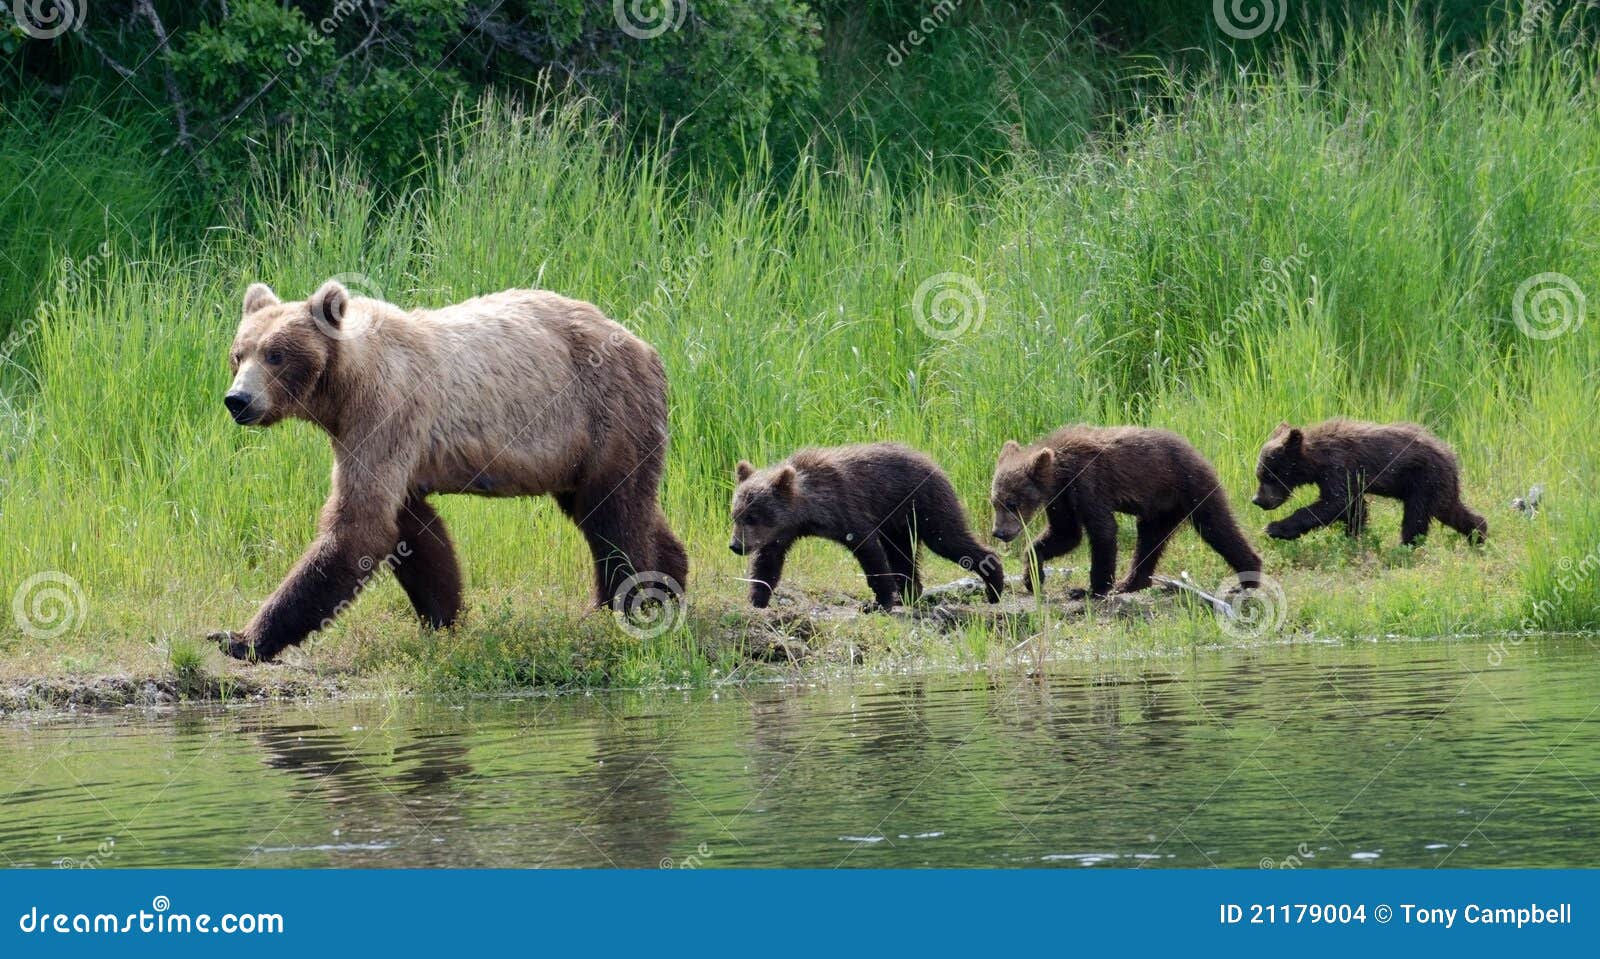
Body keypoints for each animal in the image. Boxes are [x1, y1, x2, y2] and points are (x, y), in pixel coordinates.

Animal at [211, 279, 687, 661]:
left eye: (275, 354)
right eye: (238, 354)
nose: (238, 400)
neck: (343, 385)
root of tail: (645, 346)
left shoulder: (386, 411)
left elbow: (358, 527)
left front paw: (239, 637)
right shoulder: (377, 440)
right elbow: (413, 532)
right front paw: (441, 616)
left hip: (603, 411)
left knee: (613, 511)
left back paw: (618, 604)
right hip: (580, 446)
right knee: (619, 507)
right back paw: (670, 581)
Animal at [729, 443, 1004, 610]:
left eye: (752, 516)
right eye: (736, 515)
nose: (735, 545)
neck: (807, 511)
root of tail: (931, 461)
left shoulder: (845, 509)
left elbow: (869, 551)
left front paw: (878, 602)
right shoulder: (780, 534)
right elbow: (767, 563)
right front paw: (756, 599)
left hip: (925, 503)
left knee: (947, 538)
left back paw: (994, 586)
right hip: (899, 522)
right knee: (902, 555)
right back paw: (909, 594)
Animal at [989, 426, 1262, 598]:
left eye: (1012, 503)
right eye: (994, 501)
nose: (999, 532)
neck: (1061, 473)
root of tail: (1196, 451)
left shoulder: (1088, 483)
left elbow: (1103, 530)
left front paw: (1092, 589)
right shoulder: (1060, 499)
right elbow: (1065, 534)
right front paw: (1033, 577)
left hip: (1191, 484)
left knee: (1216, 526)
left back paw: (1249, 576)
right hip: (1161, 507)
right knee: (1150, 539)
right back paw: (1130, 583)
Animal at [1251, 419, 1488, 547]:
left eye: (1268, 476)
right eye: (1259, 475)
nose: (1257, 500)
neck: (1316, 461)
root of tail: (1451, 456)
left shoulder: (1339, 467)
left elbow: (1336, 502)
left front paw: (1275, 528)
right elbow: (1353, 507)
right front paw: (1353, 536)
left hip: (1424, 480)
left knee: (1416, 515)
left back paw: (1405, 546)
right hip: (1437, 485)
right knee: (1450, 510)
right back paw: (1479, 532)